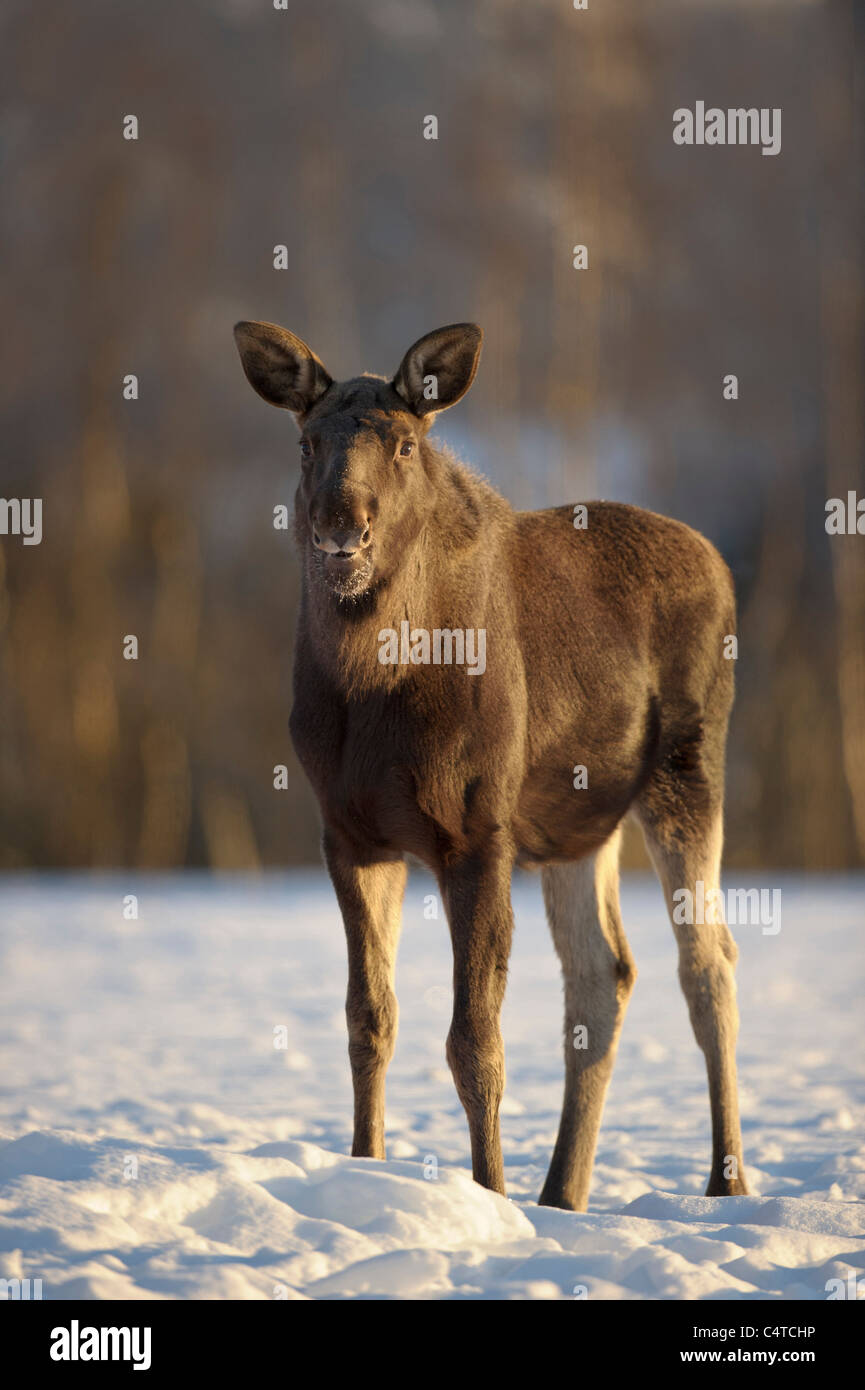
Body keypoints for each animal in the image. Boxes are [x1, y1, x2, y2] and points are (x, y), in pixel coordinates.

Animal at [233, 319, 750, 1212]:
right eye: (306, 442)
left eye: (404, 444)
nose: (341, 531)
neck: (375, 680)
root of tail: (717, 561)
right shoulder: (350, 832)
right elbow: (369, 1021)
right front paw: (367, 1166)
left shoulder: (477, 829)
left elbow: (474, 1042)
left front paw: (490, 1192)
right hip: (579, 823)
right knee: (604, 973)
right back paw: (562, 1194)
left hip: (686, 769)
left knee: (708, 964)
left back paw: (724, 1183)